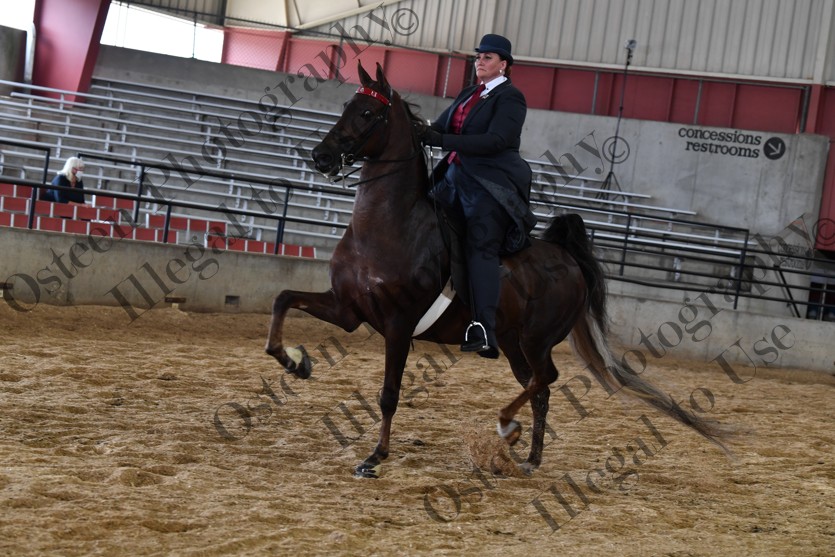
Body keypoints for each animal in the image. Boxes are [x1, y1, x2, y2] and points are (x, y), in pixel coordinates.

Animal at [265, 62, 730, 478]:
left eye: (366, 113)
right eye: (347, 104)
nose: (321, 156)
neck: (386, 225)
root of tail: (566, 258)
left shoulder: (398, 324)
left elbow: (388, 395)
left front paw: (374, 458)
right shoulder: (348, 310)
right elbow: (282, 300)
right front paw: (296, 363)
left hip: (536, 339)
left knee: (546, 377)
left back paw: (508, 427)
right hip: (510, 340)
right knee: (539, 387)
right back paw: (527, 457)